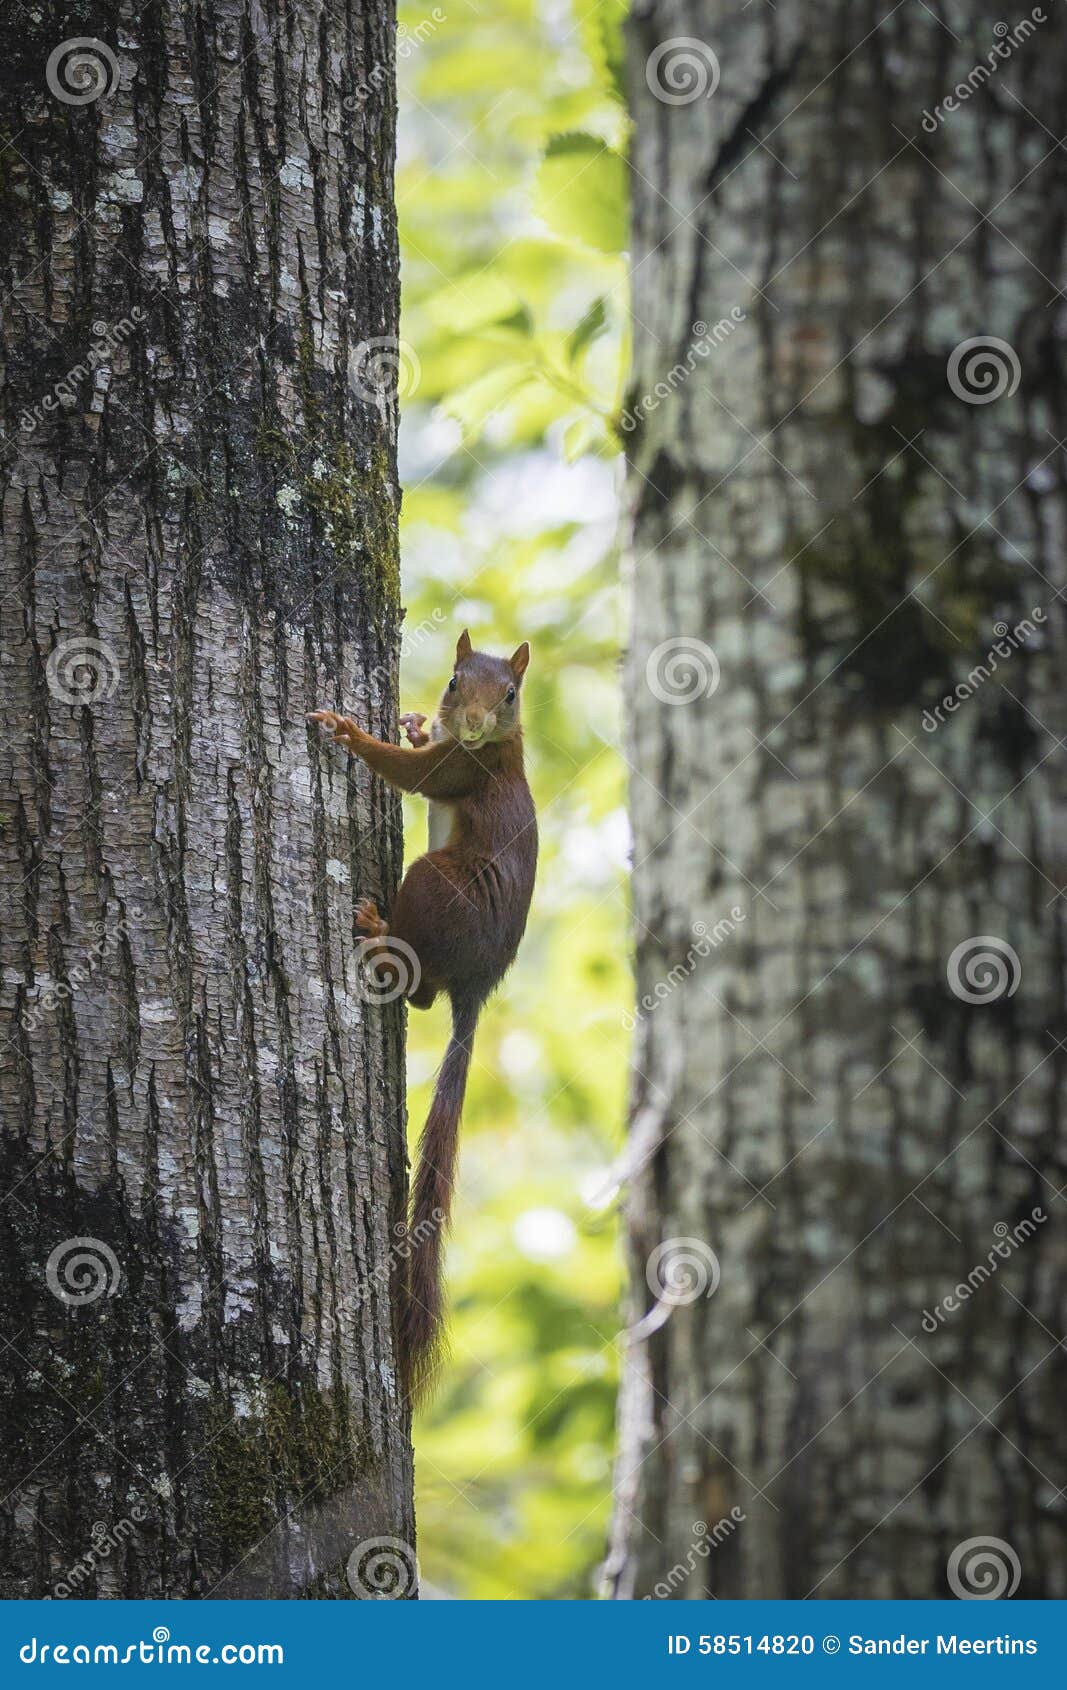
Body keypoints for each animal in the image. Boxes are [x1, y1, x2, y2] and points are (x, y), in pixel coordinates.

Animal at [309, 630, 537, 1400]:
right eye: (452, 682)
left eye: (510, 695)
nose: (468, 724)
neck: (493, 746)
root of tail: (479, 985)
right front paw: (410, 723)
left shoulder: (460, 771)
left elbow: (408, 773)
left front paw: (354, 734)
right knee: (423, 998)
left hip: (431, 884)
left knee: (417, 980)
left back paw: (379, 932)